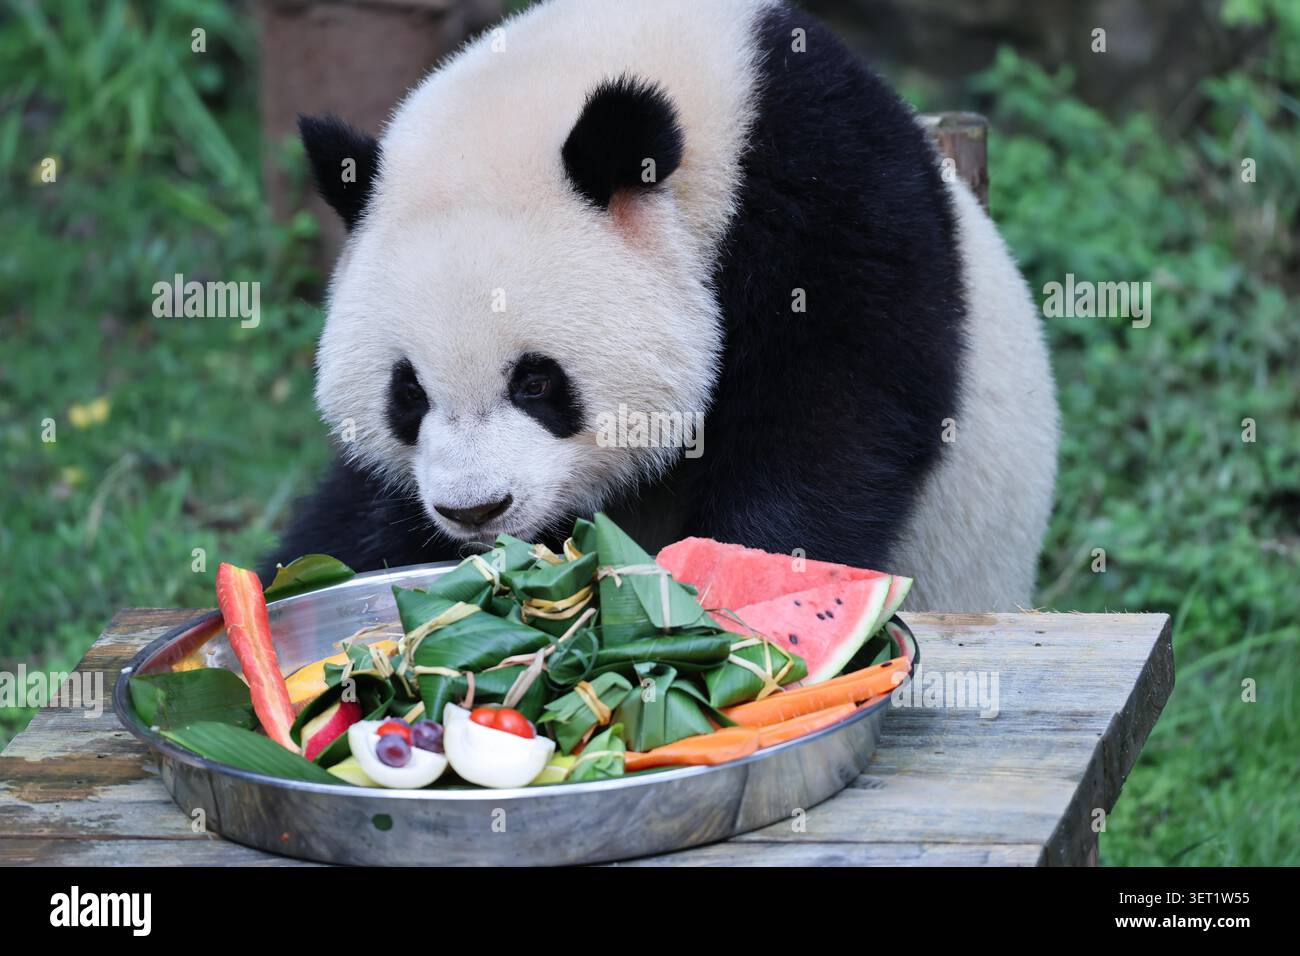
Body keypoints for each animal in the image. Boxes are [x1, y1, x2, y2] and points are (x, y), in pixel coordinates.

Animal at [272, 0, 1059, 612]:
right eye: (407, 393)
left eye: (537, 380)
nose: (475, 510)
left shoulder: (832, 195)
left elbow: (837, 416)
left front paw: (753, 568)